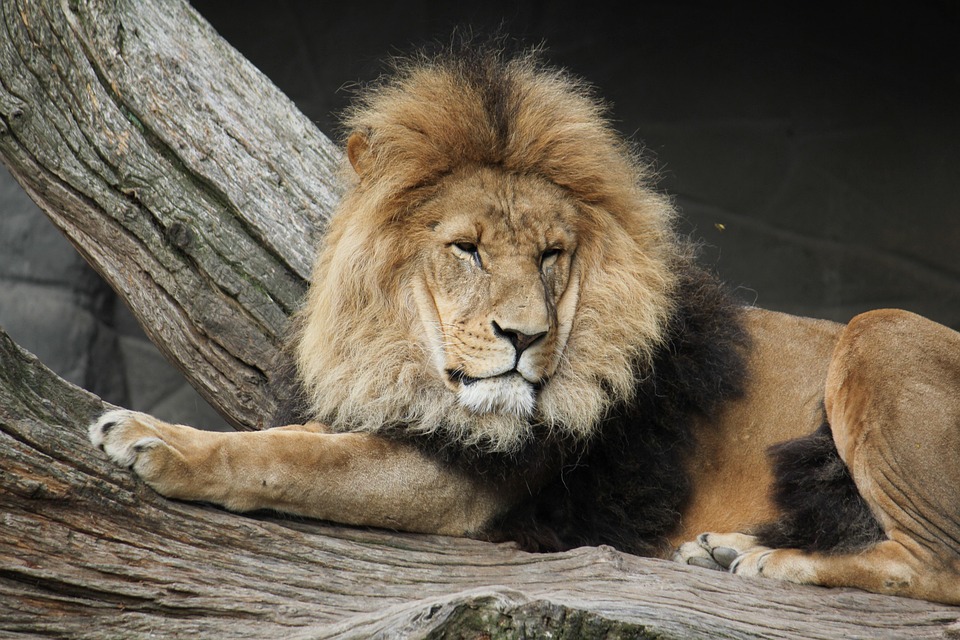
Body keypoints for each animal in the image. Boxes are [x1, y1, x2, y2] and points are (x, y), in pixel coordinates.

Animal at [89, 46, 960, 605]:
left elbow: (290, 460)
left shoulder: (464, 482)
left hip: (876, 331)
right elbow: (298, 440)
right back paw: (730, 550)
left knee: (937, 566)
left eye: (551, 255)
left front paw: (155, 442)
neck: (403, 358)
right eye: (467, 249)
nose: (524, 338)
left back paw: (777, 563)